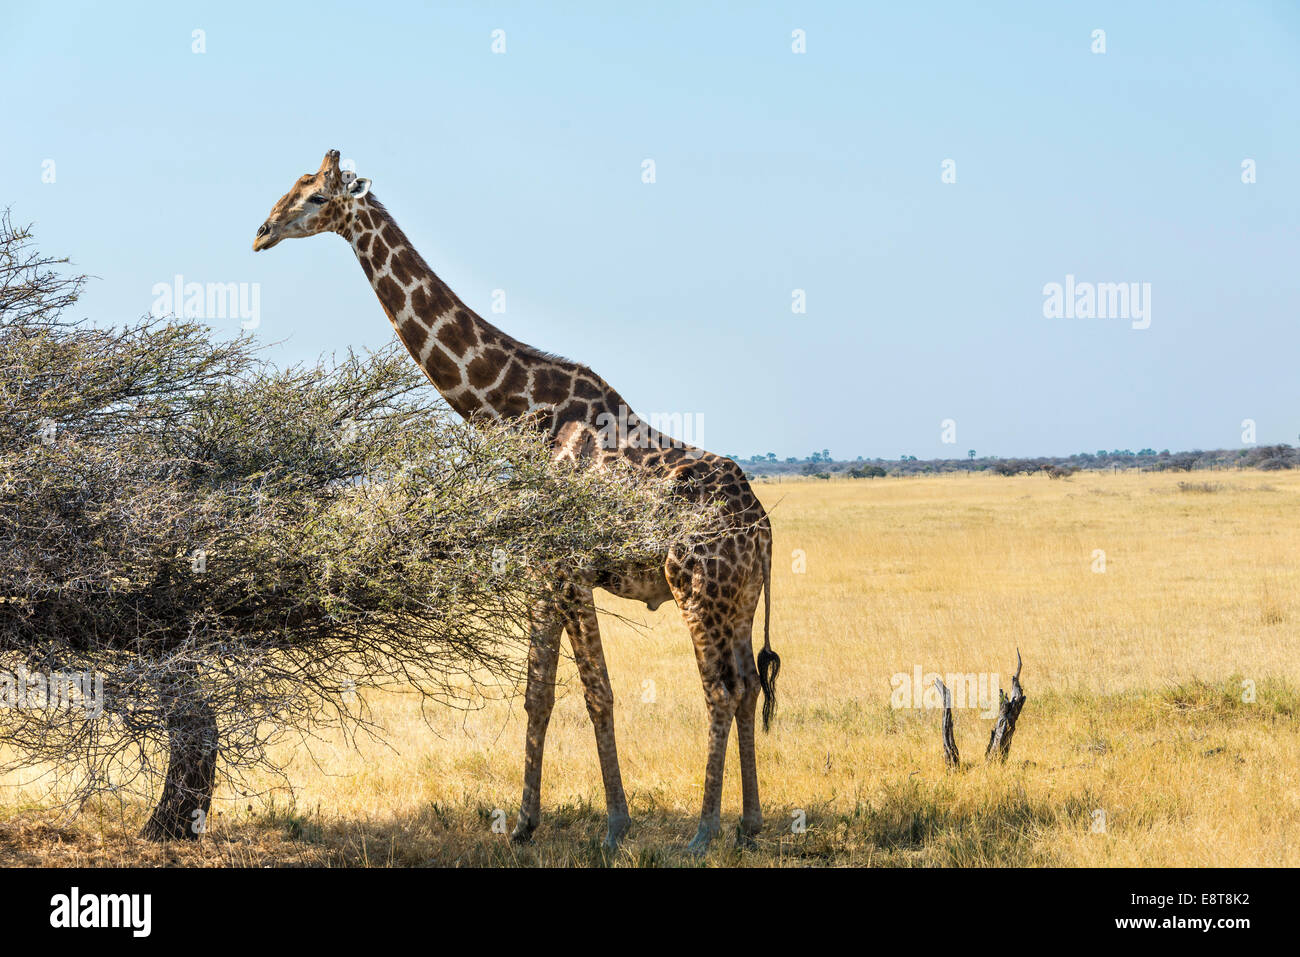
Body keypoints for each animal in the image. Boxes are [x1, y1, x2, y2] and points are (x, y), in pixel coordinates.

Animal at [254, 150, 781, 851]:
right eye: (293, 185)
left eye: (314, 196)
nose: (260, 233)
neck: (527, 415)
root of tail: (764, 527)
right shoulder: (541, 569)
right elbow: (539, 693)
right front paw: (526, 823)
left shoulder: (569, 569)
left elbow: (597, 693)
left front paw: (616, 827)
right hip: (739, 597)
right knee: (747, 685)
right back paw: (748, 825)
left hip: (696, 587)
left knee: (719, 691)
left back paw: (702, 832)